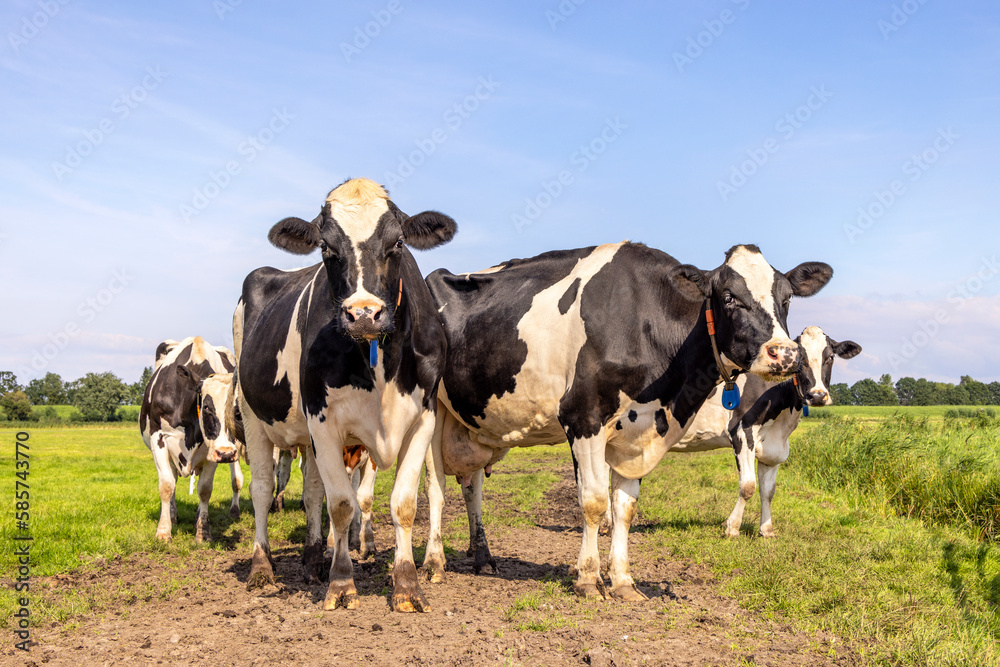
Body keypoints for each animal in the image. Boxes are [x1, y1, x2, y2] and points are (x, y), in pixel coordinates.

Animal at [139, 337, 242, 542]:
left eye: (236, 410)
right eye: (207, 407)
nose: (226, 454)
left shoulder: (212, 450)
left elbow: (204, 489)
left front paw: (203, 531)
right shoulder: (158, 438)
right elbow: (166, 486)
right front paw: (163, 532)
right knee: (172, 479)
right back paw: (172, 515)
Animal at [235, 178, 456, 612]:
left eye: (398, 242)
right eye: (325, 247)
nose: (364, 314)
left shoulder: (422, 417)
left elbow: (404, 504)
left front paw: (407, 585)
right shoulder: (323, 419)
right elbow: (340, 505)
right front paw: (340, 583)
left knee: (311, 491)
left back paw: (312, 560)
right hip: (252, 415)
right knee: (263, 489)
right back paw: (261, 567)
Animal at [422, 242, 833, 600]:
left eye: (786, 298)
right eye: (730, 296)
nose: (784, 354)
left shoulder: (637, 436)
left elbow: (624, 509)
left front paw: (622, 581)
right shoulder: (583, 418)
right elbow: (592, 502)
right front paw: (589, 579)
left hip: (475, 425)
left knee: (472, 487)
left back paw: (483, 559)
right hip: (432, 413)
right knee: (436, 489)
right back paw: (434, 563)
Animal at [673, 325, 861, 537]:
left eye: (830, 357)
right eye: (799, 359)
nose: (818, 396)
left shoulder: (773, 449)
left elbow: (768, 491)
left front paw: (766, 529)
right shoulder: (741, 432)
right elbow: (748, 487)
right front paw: (732, 527)